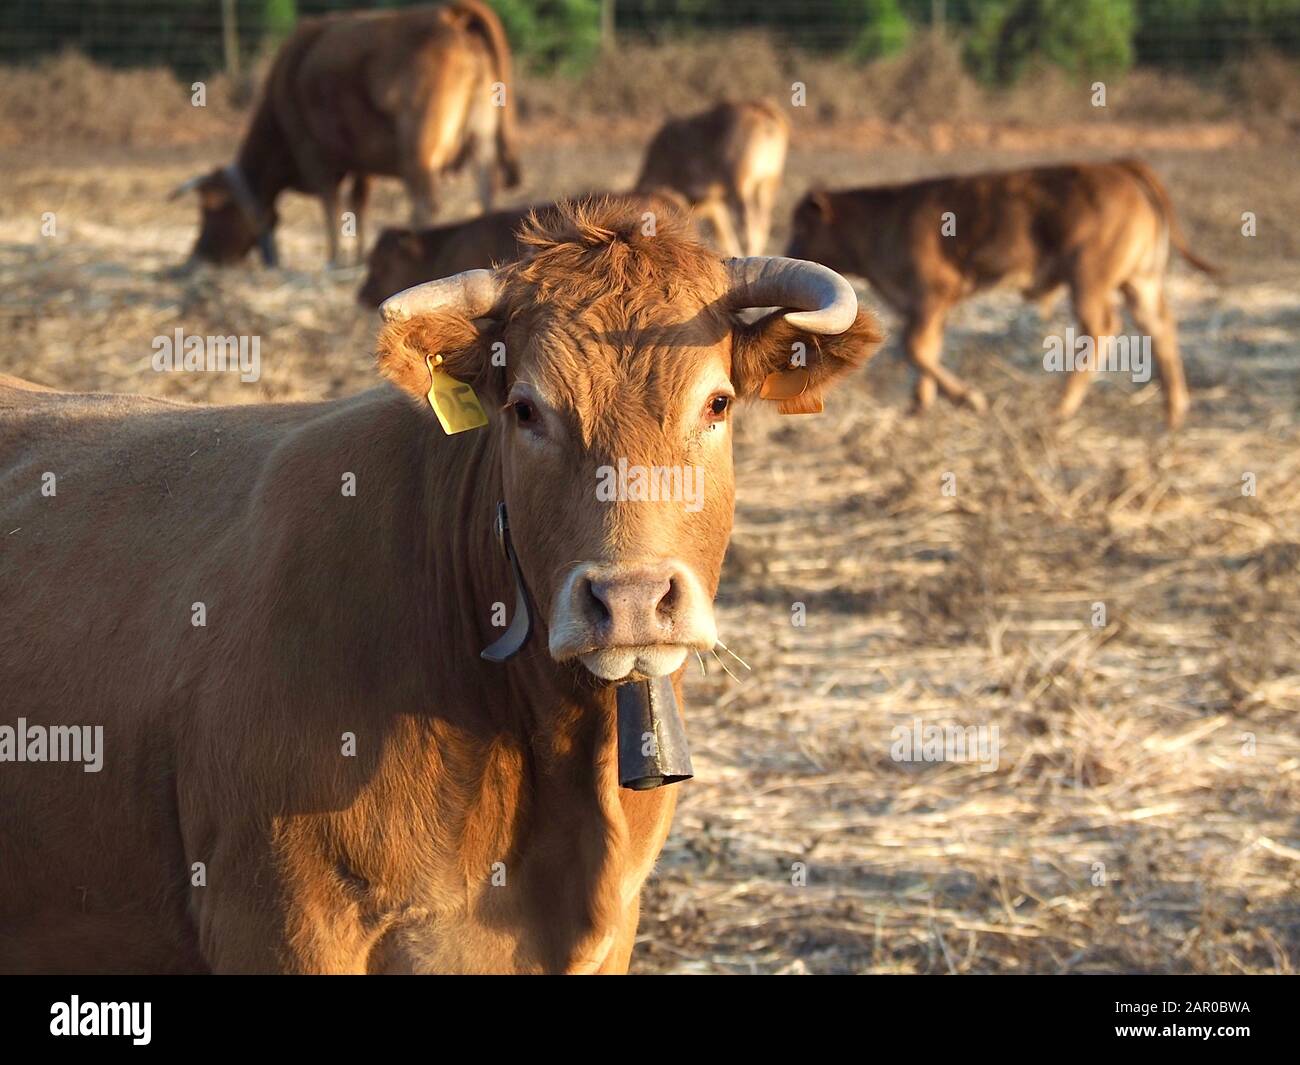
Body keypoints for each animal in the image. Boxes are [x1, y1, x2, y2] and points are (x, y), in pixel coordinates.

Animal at [170, 1, 521, 268]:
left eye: (210, 209)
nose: (199, 254)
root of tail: (450, 15)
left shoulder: (311, 151)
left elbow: (331, 204)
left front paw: (335, 259)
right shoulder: (361, 160)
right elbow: (358, 204)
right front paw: (359, 257)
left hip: (418, 141)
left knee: (425, 203)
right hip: (481, 137)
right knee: (486, 194)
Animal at [635, 99, 789, 258]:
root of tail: (765, 113)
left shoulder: (710, 204)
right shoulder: (715, 205)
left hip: (740, 185)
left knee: (749, 224)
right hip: (767, 184)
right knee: (763, 223)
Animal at [786, 158, 1216, 429]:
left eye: (803, 227)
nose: (788, 251)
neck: (884, 218)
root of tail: (1118, 167)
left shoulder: (932, 294)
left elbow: (915, 348)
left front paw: (969, 399)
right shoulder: (925, 307)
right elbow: (926, 350)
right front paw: (918, 407)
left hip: (1089, 281)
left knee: (1101, 329)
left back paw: (1060, 408)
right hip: (1140, 281)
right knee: (1160, 328)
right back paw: (1174, 413)